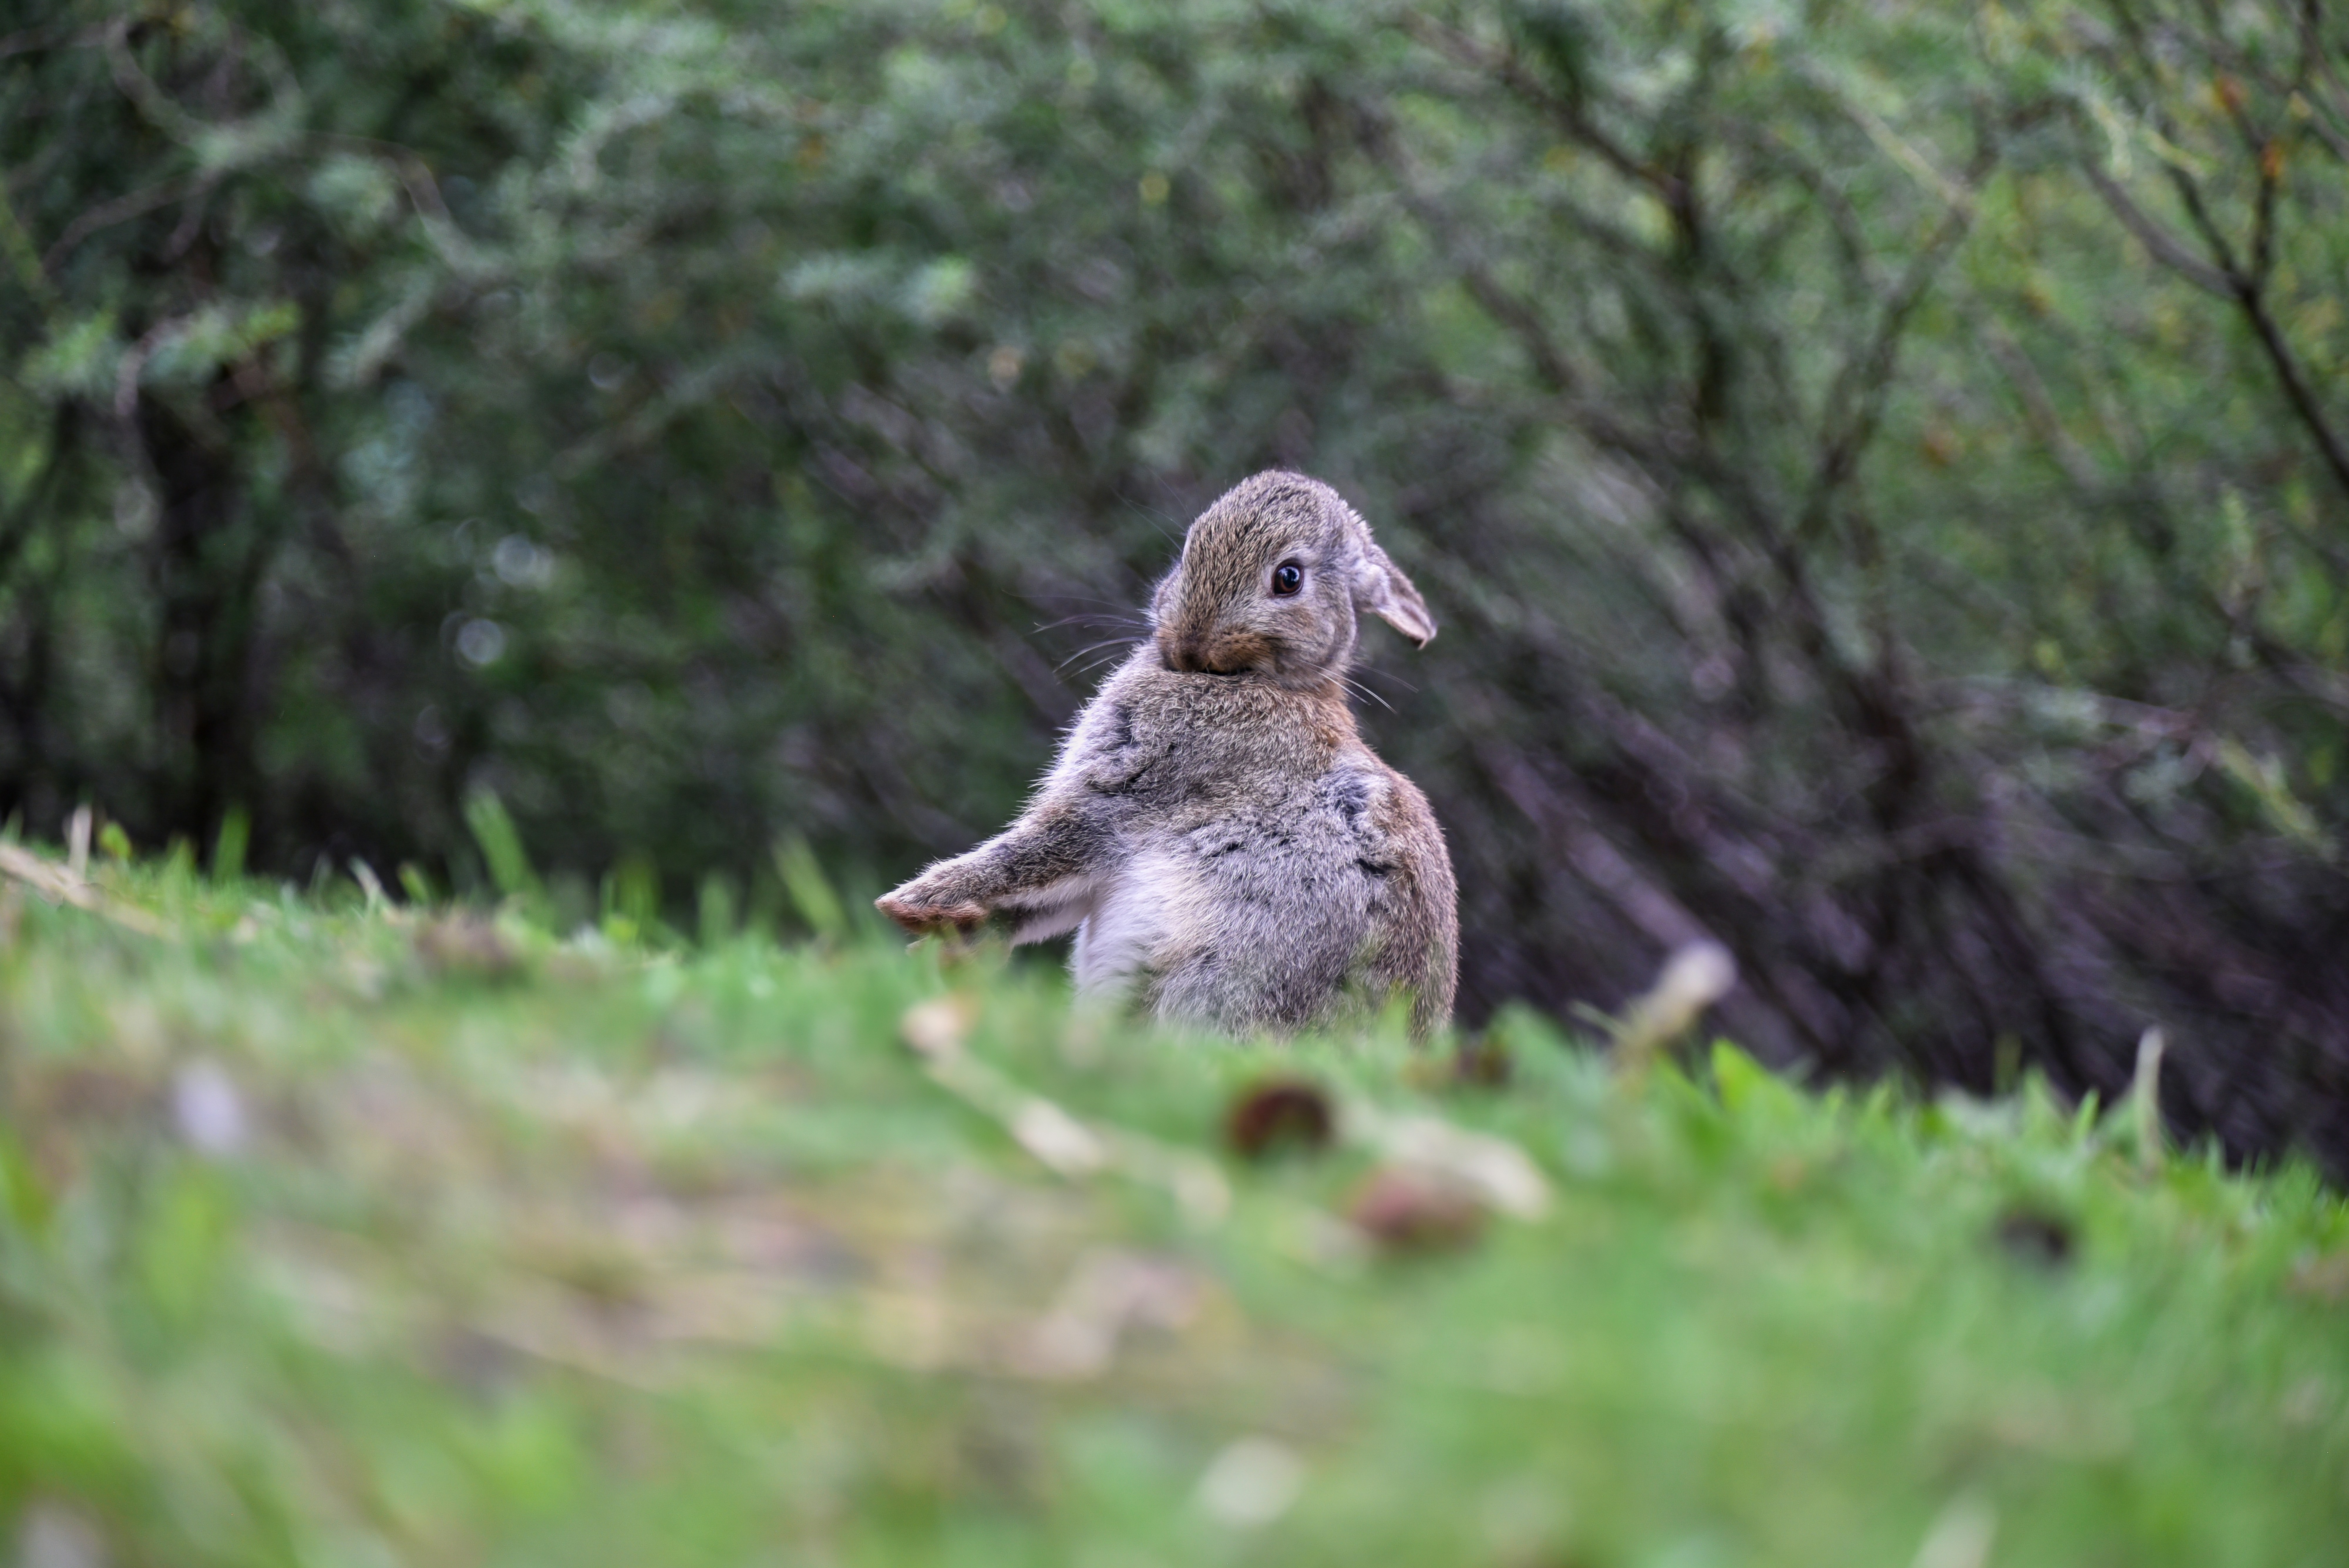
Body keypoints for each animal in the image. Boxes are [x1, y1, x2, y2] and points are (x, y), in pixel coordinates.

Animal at [876, 470, 1458, 1039]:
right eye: (1186, 550)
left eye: (1289, 578)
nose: (1188, 643)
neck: (1267, 681)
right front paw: (948, 942)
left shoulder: (1122, 797)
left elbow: (1031, 854)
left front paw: (908, 904)